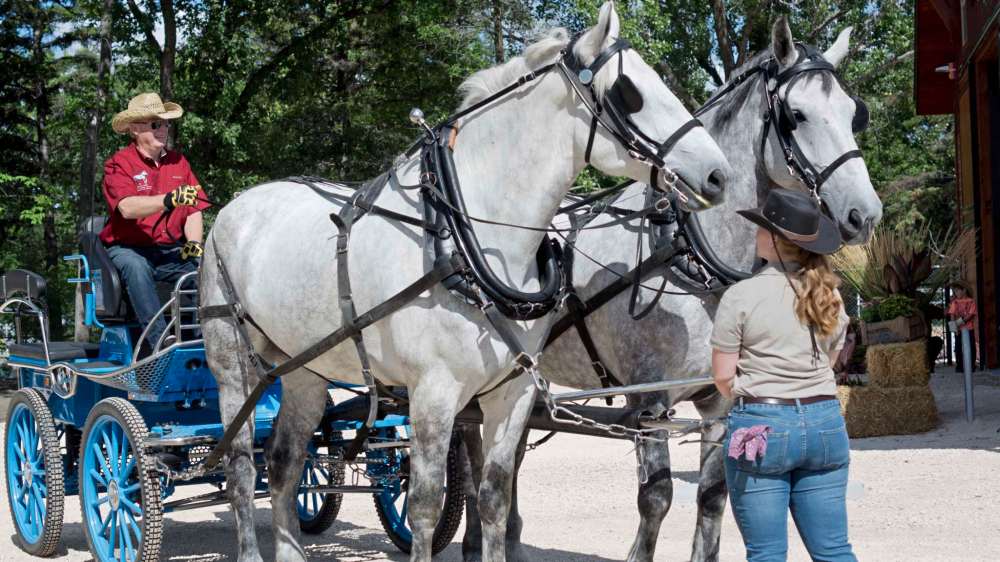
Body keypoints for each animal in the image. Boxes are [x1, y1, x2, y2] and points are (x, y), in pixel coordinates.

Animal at [198, 3, 733, 561]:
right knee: (241, 467)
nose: (719, 175)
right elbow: (424, 505)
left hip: (306, 368)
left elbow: (494, 494)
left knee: (284, 463)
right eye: (631, 92)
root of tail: (236, 207)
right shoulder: (433, 393)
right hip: (233, 365)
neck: (464, 236)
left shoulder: (512, 392)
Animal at [460, 18, 883, 562]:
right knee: (472, 451)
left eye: (854, 115)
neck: (689, 253)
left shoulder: (718, 405)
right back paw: (475, 538)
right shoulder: (650, 404)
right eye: (796, 115)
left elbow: (713, 497)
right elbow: (656, 498)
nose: (864, 214)